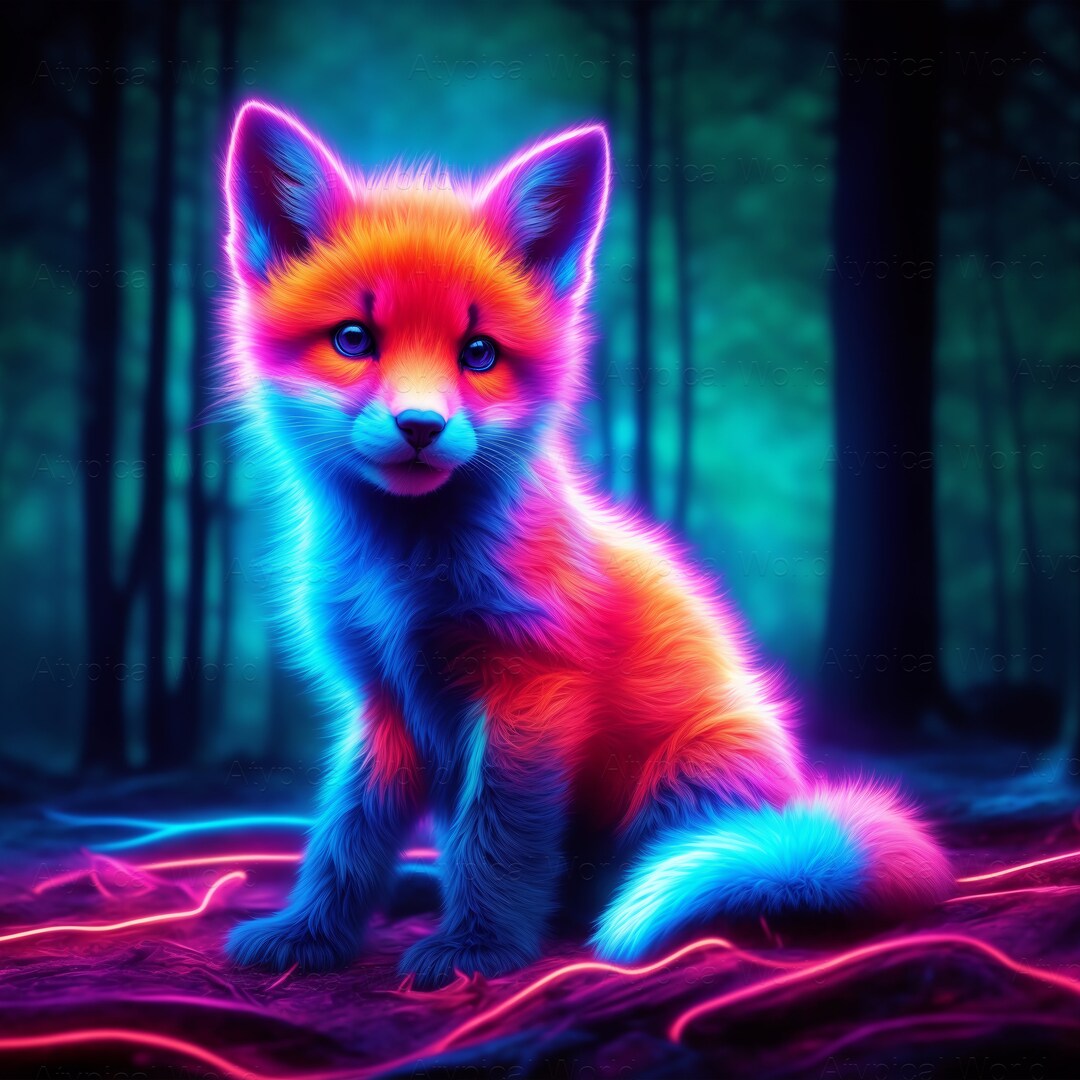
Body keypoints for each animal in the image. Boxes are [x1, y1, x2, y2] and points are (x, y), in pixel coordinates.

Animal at [221, 100, 951, 989]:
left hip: (684, 781)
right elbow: (346, 837)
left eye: (478, 354)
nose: (421, 427)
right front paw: (310, 935)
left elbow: (497, 834)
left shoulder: (533, 690)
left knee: (655, 883)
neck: (406, 580)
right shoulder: (385, 703)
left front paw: (478, 949)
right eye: (354, 339)